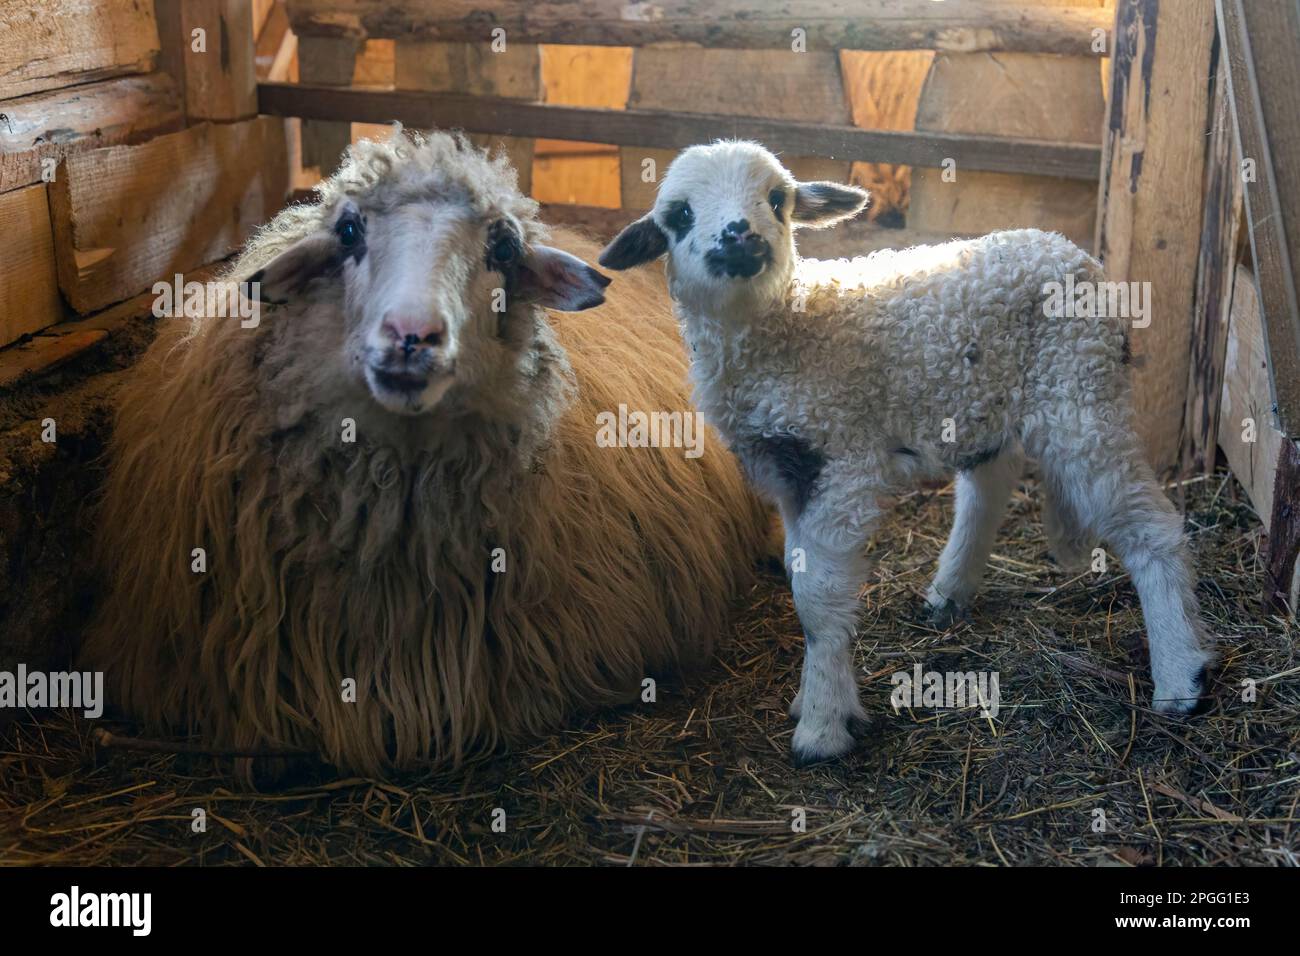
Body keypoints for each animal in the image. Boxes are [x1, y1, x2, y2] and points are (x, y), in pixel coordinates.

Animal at [600, 140, 1215, 766]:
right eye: (679, 215)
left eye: (778, 200)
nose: (741, 237)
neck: (788, 325)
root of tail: (1072, 251)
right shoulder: (789, 472)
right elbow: (800, 576)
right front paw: (817, 699)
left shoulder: (840, 458)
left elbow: (817, 599)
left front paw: (822, 729)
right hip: (986, 401)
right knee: (990, 486)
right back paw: (950, 591)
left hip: (1080, 387)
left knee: (1148, 526)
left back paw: (1179, 678)